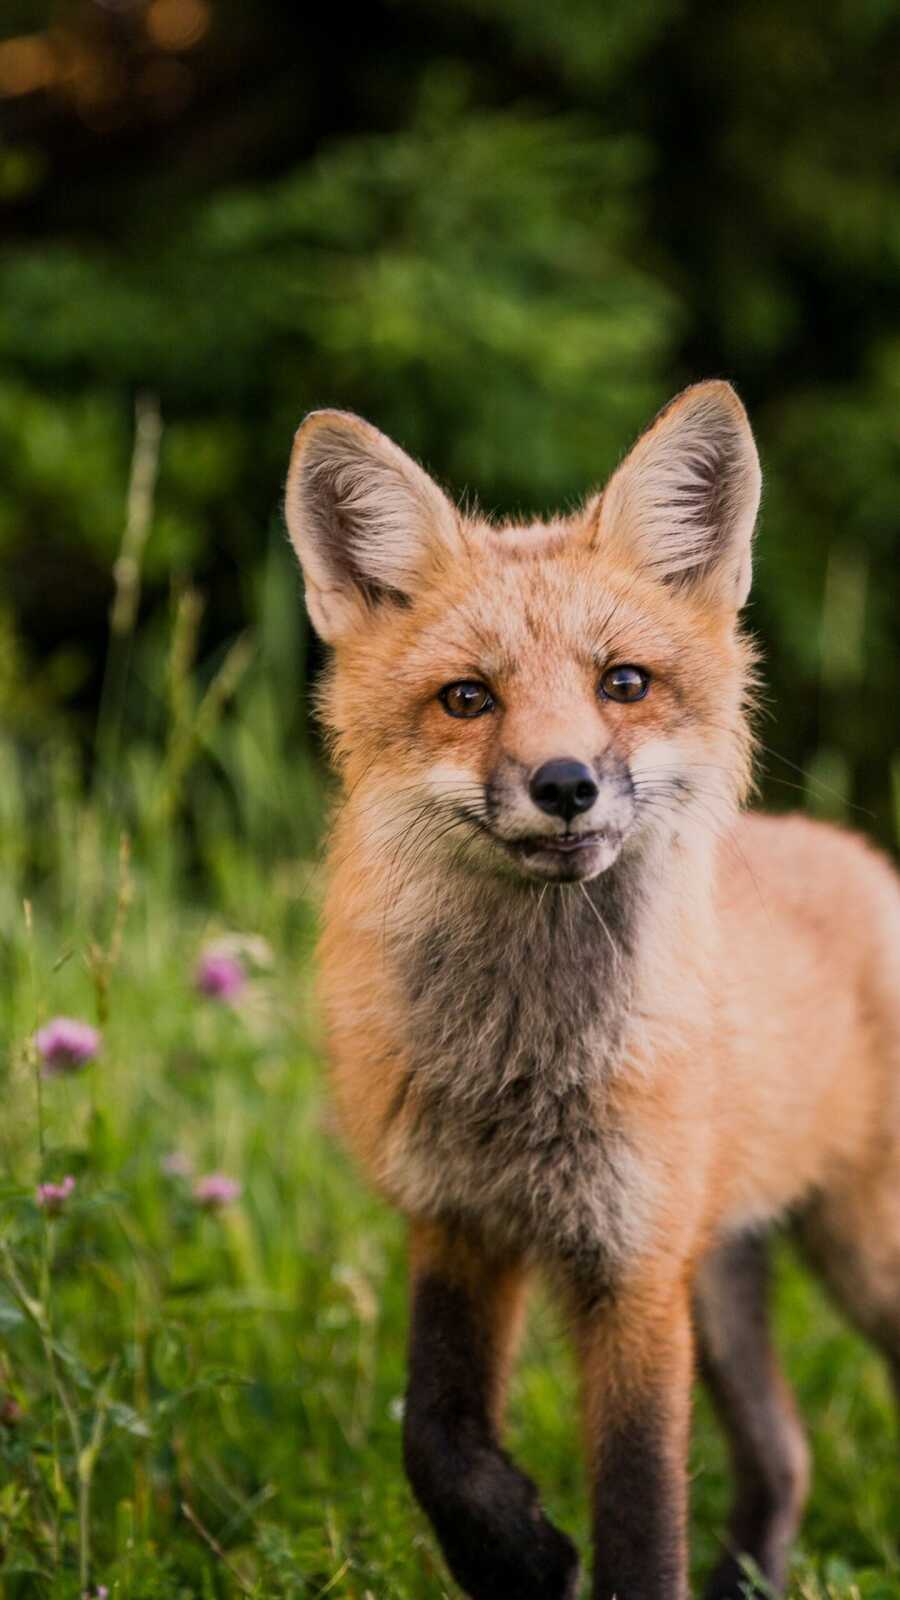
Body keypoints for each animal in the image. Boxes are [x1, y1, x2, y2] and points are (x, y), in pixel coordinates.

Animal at [283, 381, 900, 1600]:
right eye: (467, 698)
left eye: (624, 683)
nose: (564, 784)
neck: (526, 1071)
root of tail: (867, 861)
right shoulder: (459, 1220)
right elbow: (434, 1436)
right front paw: (518, 1554)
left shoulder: (633, 1269)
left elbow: (639, 1510)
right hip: (724, 1276)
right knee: (787, 1455)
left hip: (859, 1256)